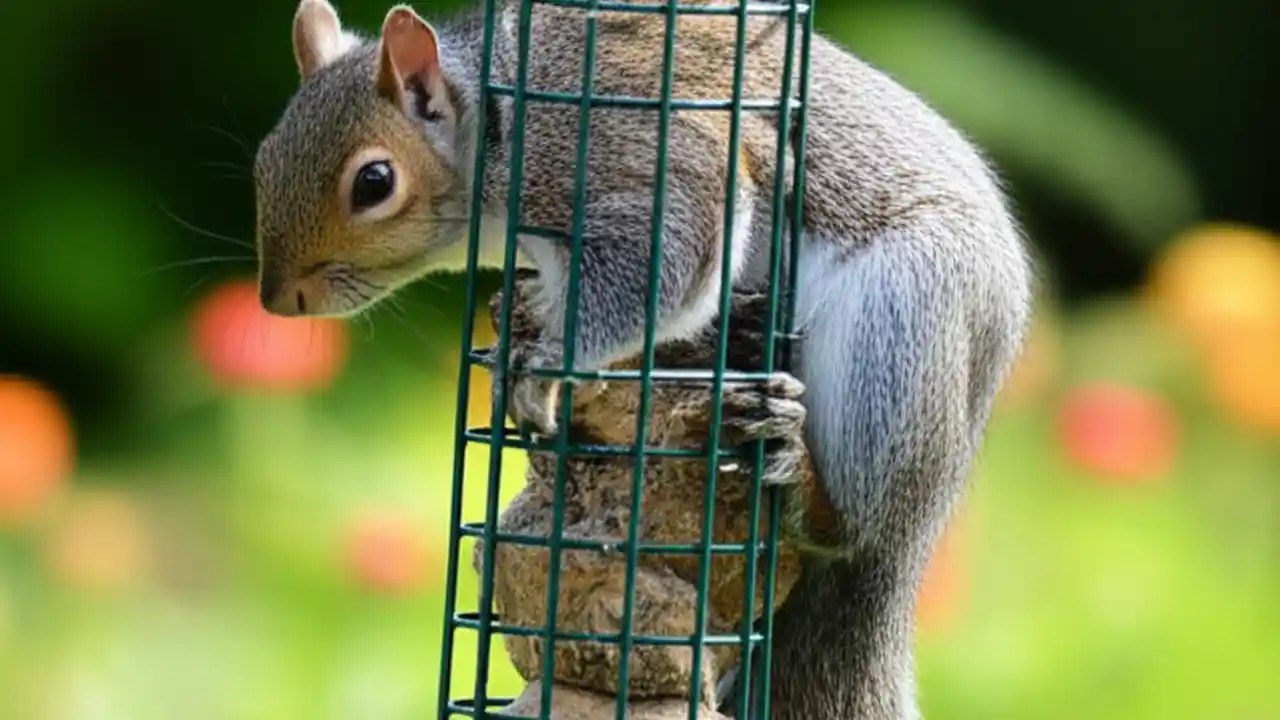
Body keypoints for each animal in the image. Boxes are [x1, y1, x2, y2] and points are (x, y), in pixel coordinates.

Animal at [252, 2, 1032, 719]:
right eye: (263, 159)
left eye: (374, 182)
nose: (279, 299)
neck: (498, 119)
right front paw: (520, 319)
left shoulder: (621, 156)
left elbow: (670, 257)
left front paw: (544, 361)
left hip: (902, 326)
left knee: (849, 526)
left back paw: (797, 467)